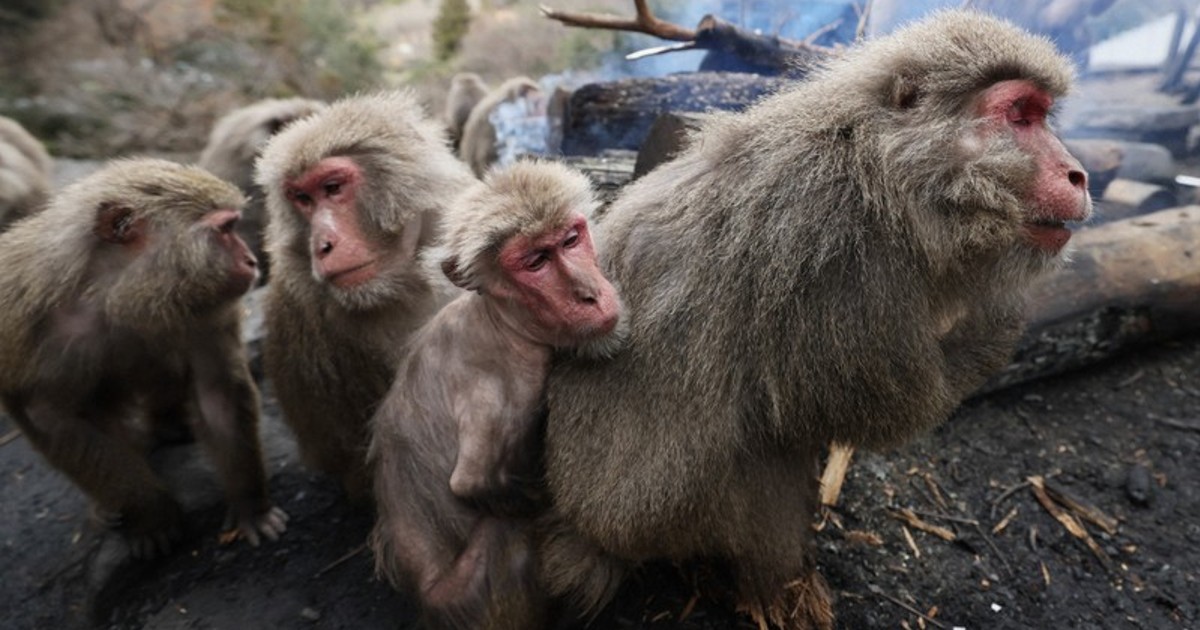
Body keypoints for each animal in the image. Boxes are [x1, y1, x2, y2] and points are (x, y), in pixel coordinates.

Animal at [0, 158, 288, 558]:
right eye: (225, 230)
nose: (251, 260)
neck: (114, 295)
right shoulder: (30, 329)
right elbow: (51, 417)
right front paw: (153, 517)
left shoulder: (201, 306)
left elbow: (217, 392)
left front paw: (251, 506)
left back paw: (169, 424)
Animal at [368, 160, 625, 629]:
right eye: (536, 262)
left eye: (570, 240)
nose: (590, 294)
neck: (504, 323)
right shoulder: (501, 385)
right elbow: (472, 483)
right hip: (475, 601)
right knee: (504, 529)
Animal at [537, 10, 1091, 629]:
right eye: (1019, 114)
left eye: (1041, 113)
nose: (1078, 175)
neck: (881, 168)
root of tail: (588, 525)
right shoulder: (834, 246)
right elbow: (856, 404)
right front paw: (996, 328)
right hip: (674, 514)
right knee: (766, 448)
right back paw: (778, 589)